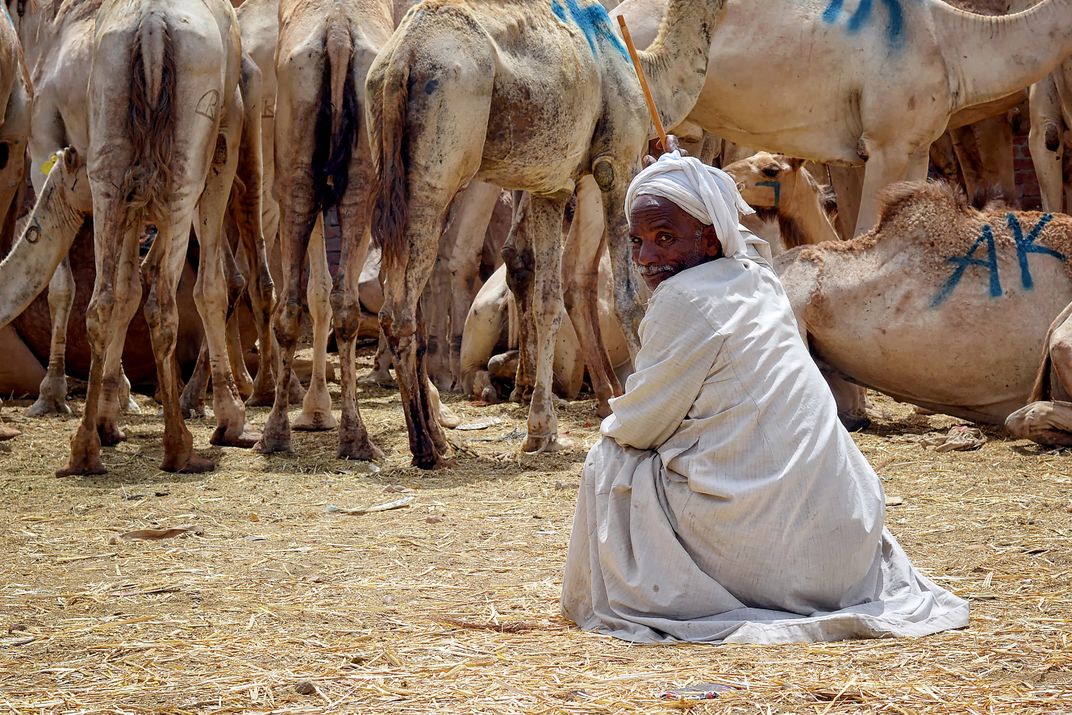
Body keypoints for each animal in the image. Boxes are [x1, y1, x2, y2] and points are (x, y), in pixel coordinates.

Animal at [366, 0, 724, 468]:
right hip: (438, 164)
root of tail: (401, 59)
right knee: (401, 310)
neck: (642, 67)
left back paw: (439, 437)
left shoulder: (549, 186)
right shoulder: (618, 160)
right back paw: (426, 448)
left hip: (390, 164)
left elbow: (546, 302)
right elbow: (630, 298)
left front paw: (541, 431)